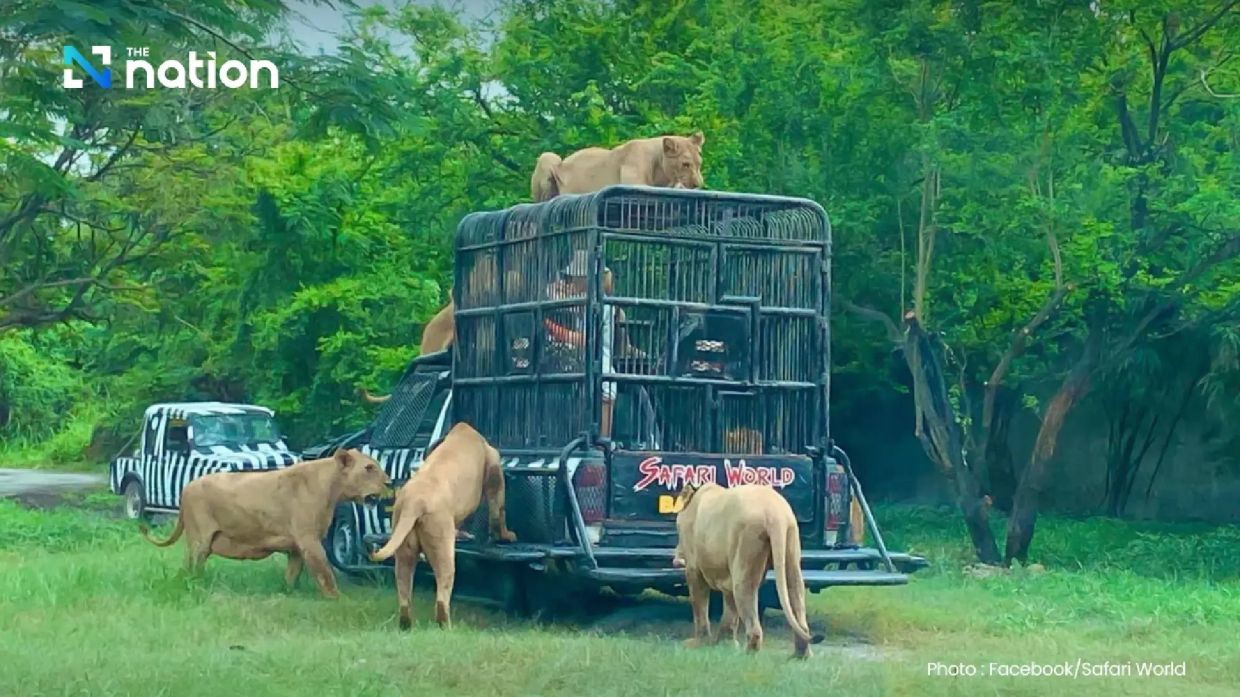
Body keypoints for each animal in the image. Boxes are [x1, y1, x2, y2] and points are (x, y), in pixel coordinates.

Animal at [140, 448, 390, 598]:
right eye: (369, 468)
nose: (389, 482)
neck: (332, 488)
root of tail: (186, 488)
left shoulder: (296, 547)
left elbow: (292, 574)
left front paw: (288, 593)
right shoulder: (309, 540)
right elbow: (325, 572)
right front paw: (336, 599)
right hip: (199, 540)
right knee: (191, 567)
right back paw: (194, 586)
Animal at [370, 422, 517, 630]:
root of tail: (414, 503)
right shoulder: (494, 470)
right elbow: (498, 511)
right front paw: (507, 536)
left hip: (404, 550)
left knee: (404, 592)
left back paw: (406, 625)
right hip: (442, 548)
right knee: (442, 594)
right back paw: (446, 626)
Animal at [672, 482, 824, 659]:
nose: (676, 559)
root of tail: (775, 513)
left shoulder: (694, 567)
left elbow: (699, 604)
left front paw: (697, 644)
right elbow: (730, 608)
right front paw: (725, 644)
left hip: (747, 543)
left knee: (750, 609)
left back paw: (747, 654)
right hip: (791, 543)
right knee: (795, 592)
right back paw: (800, 656)